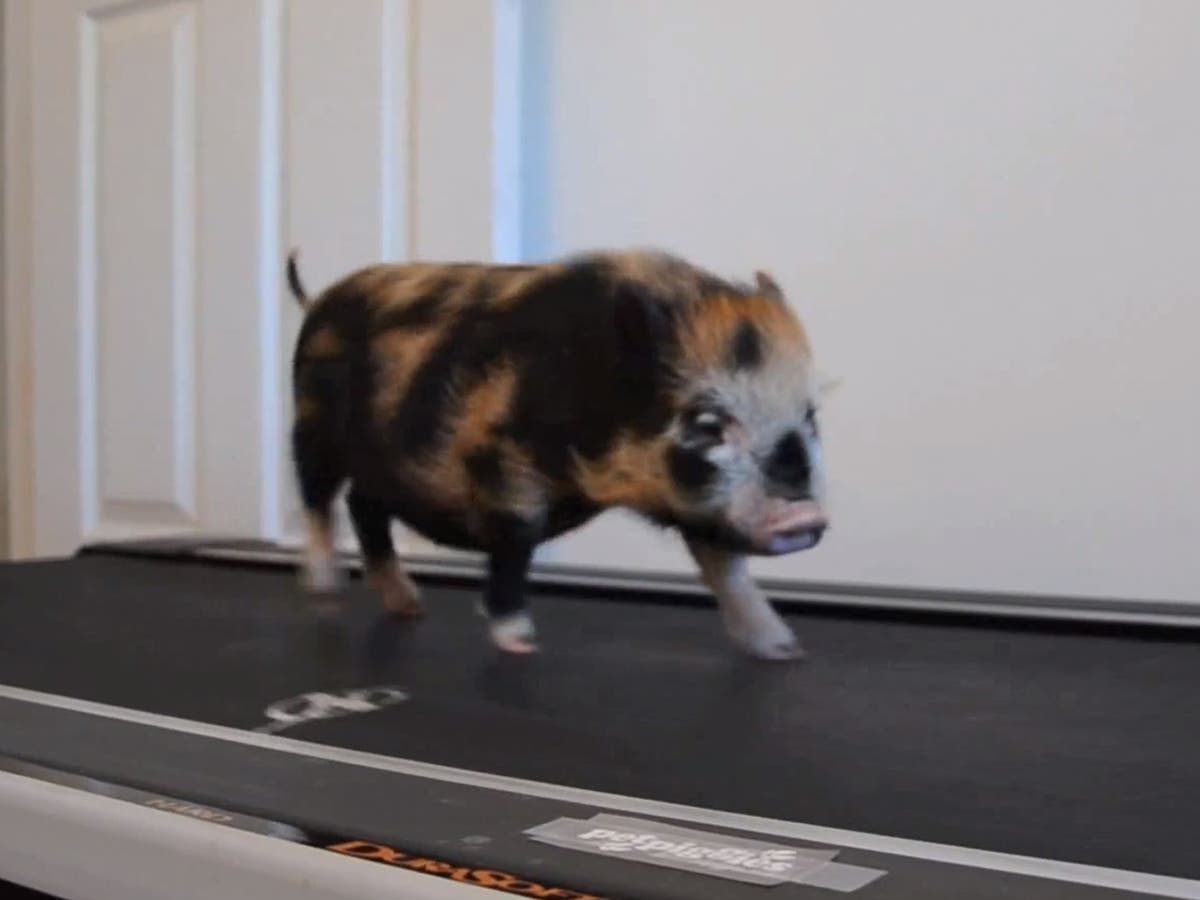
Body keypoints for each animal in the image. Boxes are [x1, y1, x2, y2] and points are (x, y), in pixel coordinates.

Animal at [286, 248, 830, 660]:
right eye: (710, 425)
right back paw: (324, 590)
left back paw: (409, 606)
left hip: (377, 470)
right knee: (319, 503)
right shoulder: (502, 463)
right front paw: (520, 644)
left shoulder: (696, 503)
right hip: (310, 429)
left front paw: (783, 650)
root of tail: (318, 303)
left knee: (362, 506)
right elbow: (516, 541)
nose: (804, 515)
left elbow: (726, 568)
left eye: (809, 417)